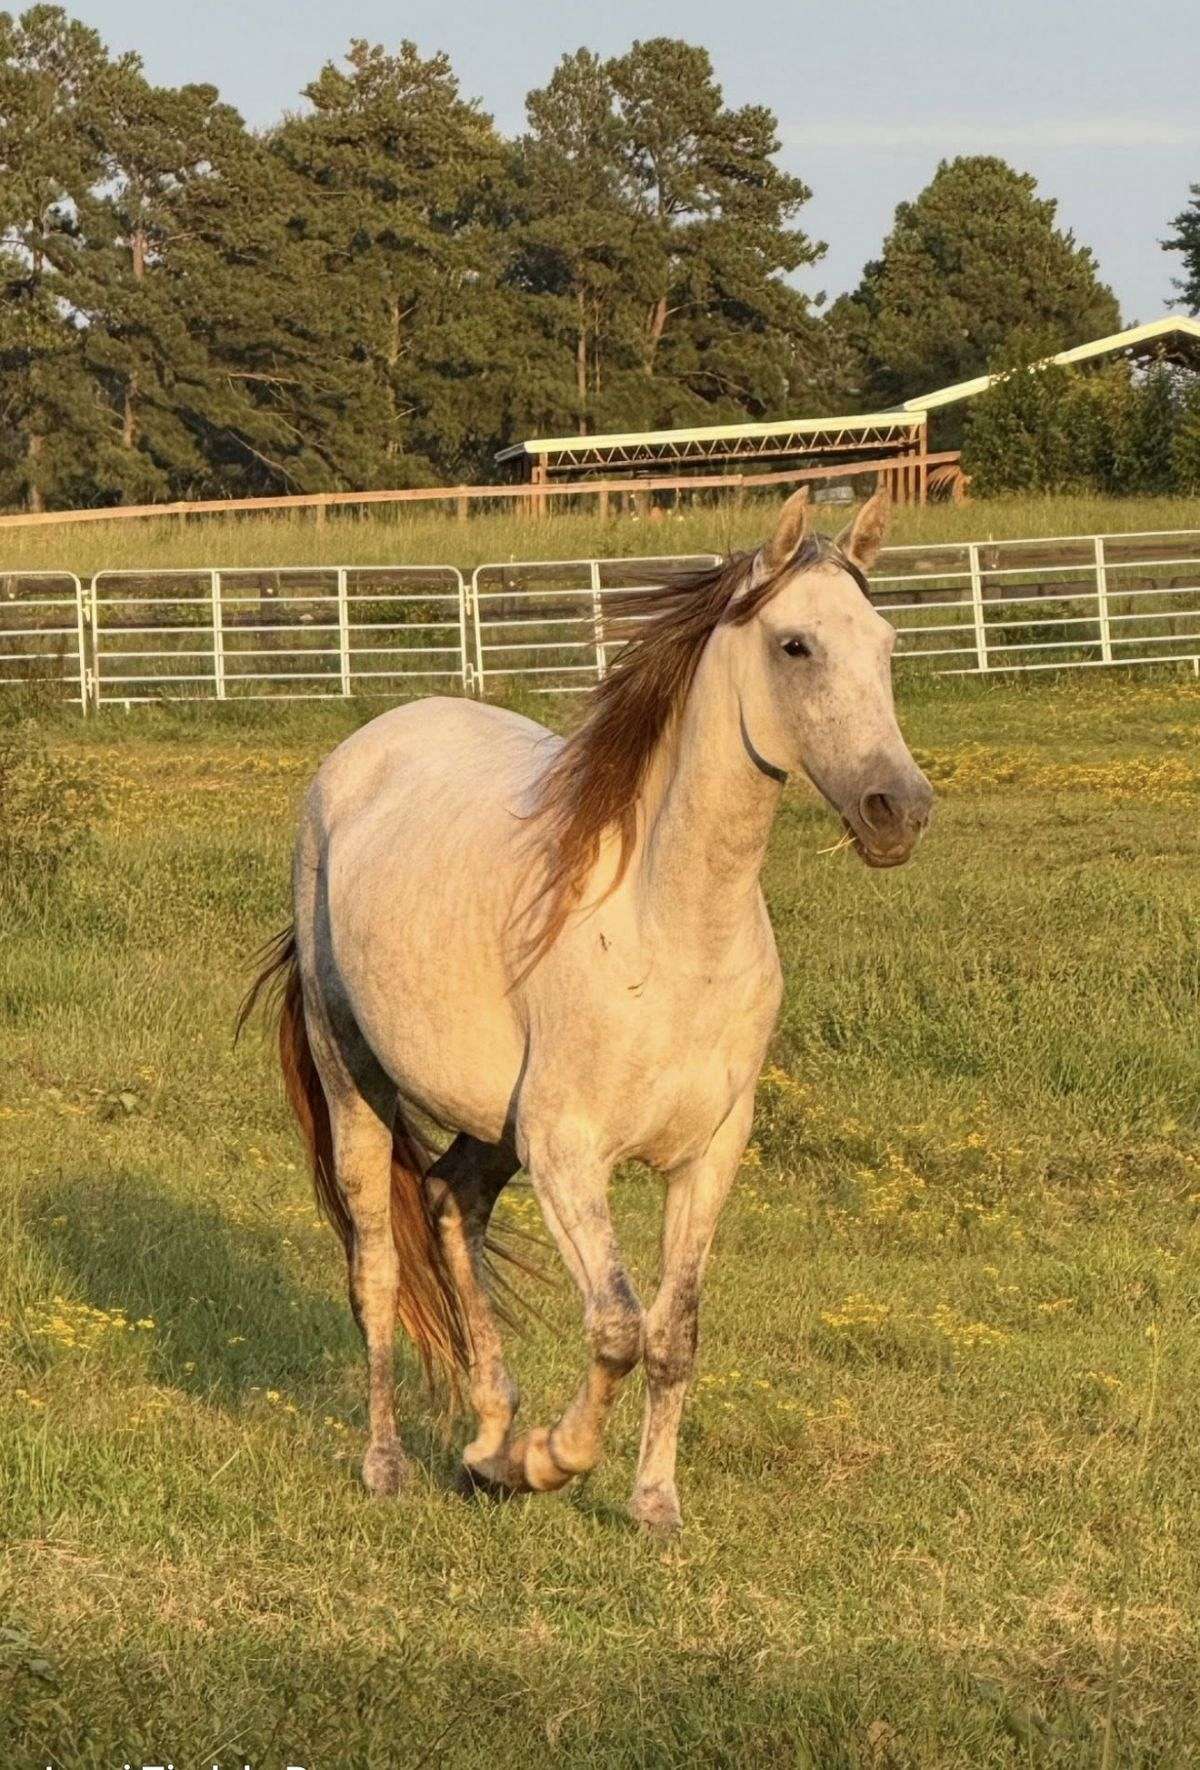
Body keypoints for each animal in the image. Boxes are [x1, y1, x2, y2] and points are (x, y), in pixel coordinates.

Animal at [242, 485, 933, 1533]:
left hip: (493, 1121)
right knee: (378, 1266)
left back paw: (484, 1442)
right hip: (355, 1079)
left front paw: (651, 1504)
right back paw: (391, 1464)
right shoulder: (569, 1150)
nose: (899, 809)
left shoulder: (708, 1154)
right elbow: (616, 1326)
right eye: (796, 646)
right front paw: (550, 1461)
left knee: (450, 1202)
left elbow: (675, 1333)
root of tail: (363, 750)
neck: (668, 926)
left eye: (887, 645)